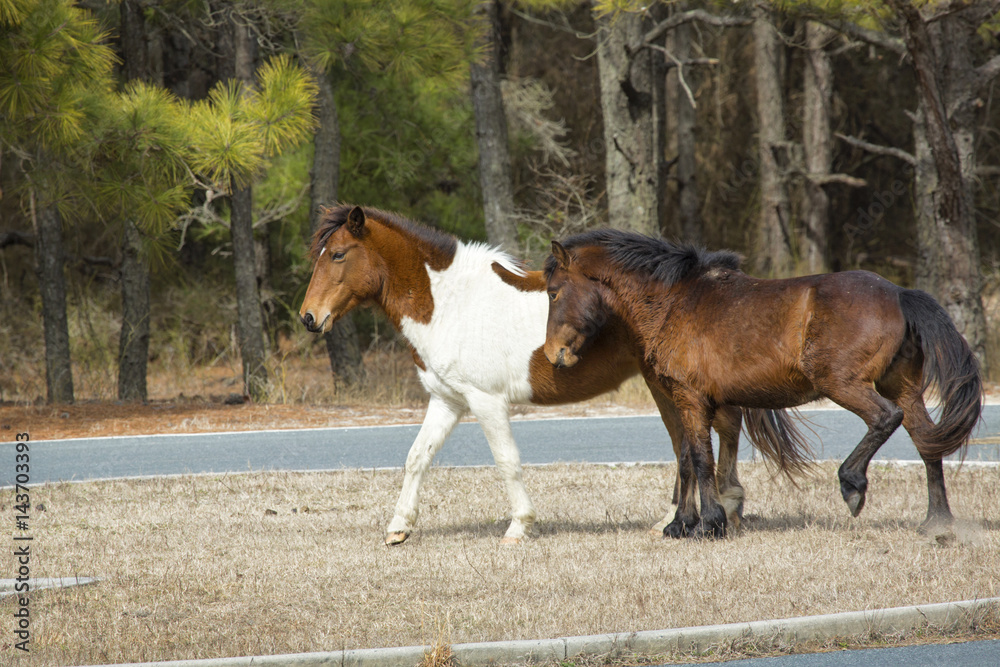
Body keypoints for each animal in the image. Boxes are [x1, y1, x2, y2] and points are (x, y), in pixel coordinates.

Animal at [299, 205, 810, 544]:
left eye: (338, 254)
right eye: (319, 254)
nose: (308, 317)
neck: (449, 303)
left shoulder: (485, 402)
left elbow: (507, 461)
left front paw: (519, 526)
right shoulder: (448, 401)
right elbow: (416, 458)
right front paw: (399, 528)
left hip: (669, 385)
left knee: (705, 436)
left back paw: (712, 511)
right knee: (700, 438)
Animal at [542, 228, 983, 539]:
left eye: (552, 292)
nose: (553, 354)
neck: (673, 302)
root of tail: (899, 293)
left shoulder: (690, 397)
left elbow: (699, 458)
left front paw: (709, 524)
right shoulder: (684, 399)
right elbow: (686, 457)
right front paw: (680, 525)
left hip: (844, 384)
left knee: (885, 418)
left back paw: (853, 484)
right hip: (903, 387)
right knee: (926, 442)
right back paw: (937, 523)